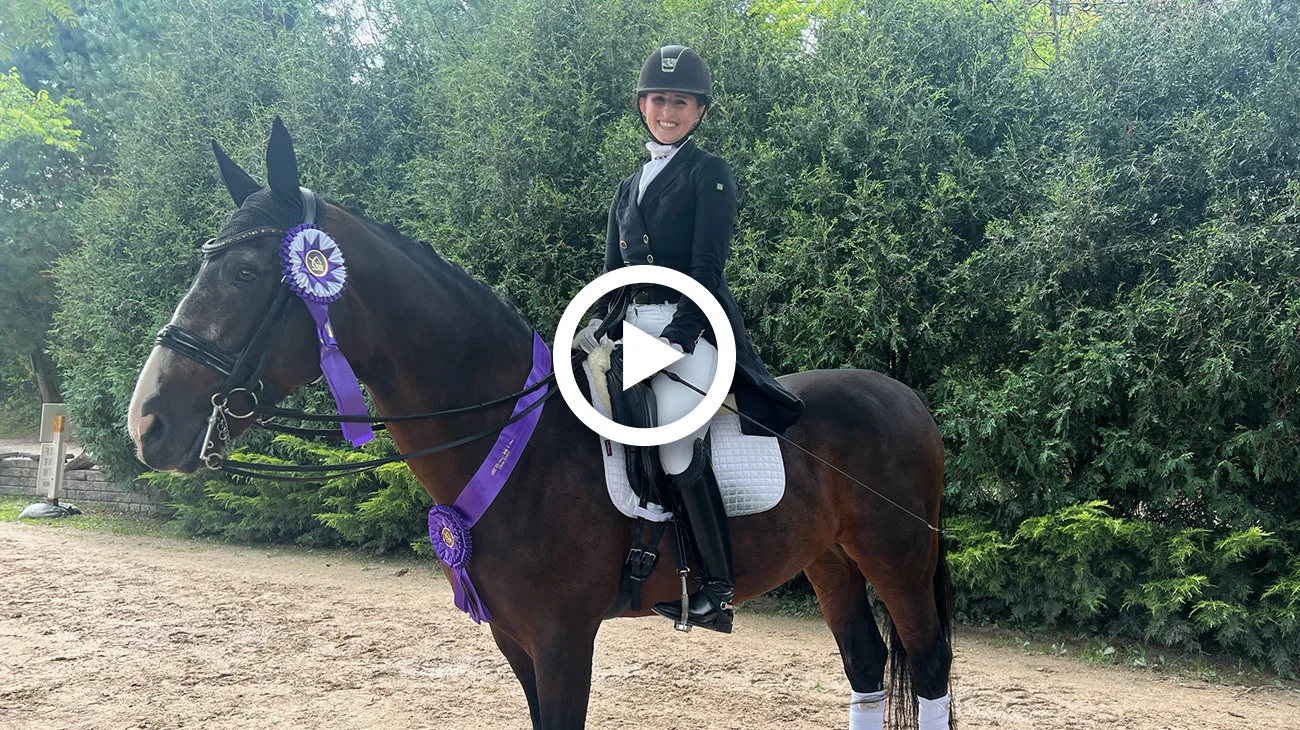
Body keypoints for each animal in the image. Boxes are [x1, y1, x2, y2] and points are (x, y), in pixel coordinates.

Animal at [127, 119, 953, 730]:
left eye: (244, 275)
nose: (148, 423)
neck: (512, 443)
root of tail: (907, 399)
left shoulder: (562, 640)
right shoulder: (514, 638)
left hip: (899, 558)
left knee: (929, 664)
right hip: (831, 560)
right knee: (864, 666)